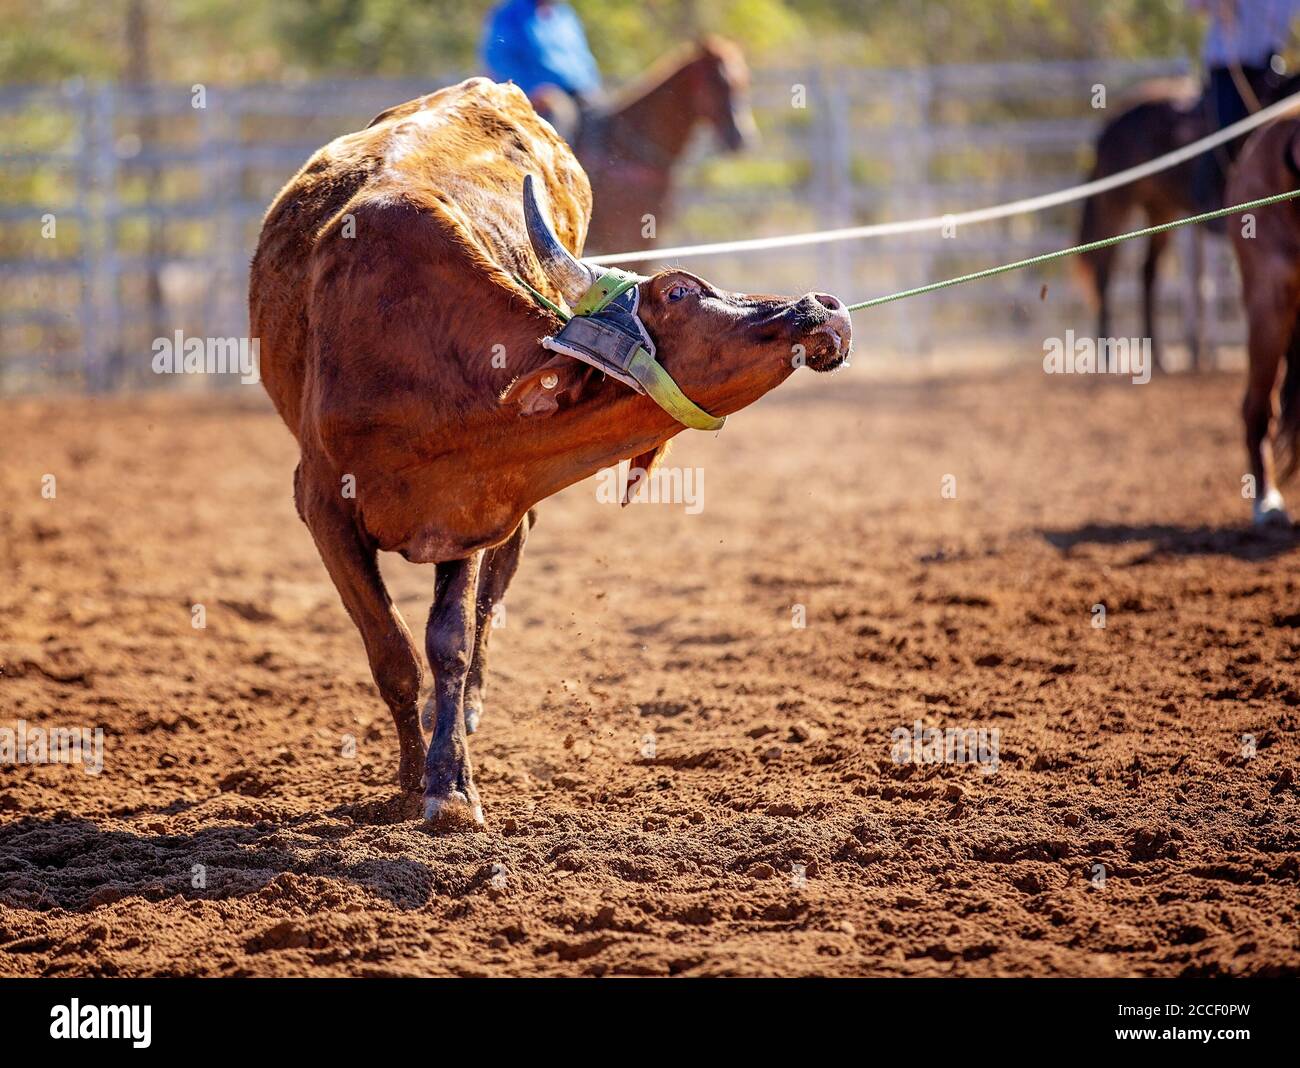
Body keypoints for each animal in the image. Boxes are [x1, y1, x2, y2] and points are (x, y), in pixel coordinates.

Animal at [249, 77, 851, 829]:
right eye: (679, 289)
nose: (822, 307)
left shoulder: (471, 504)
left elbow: (448, 642)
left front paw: (451, 785)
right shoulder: (323, 503)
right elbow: (391, 652)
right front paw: (411, 782)